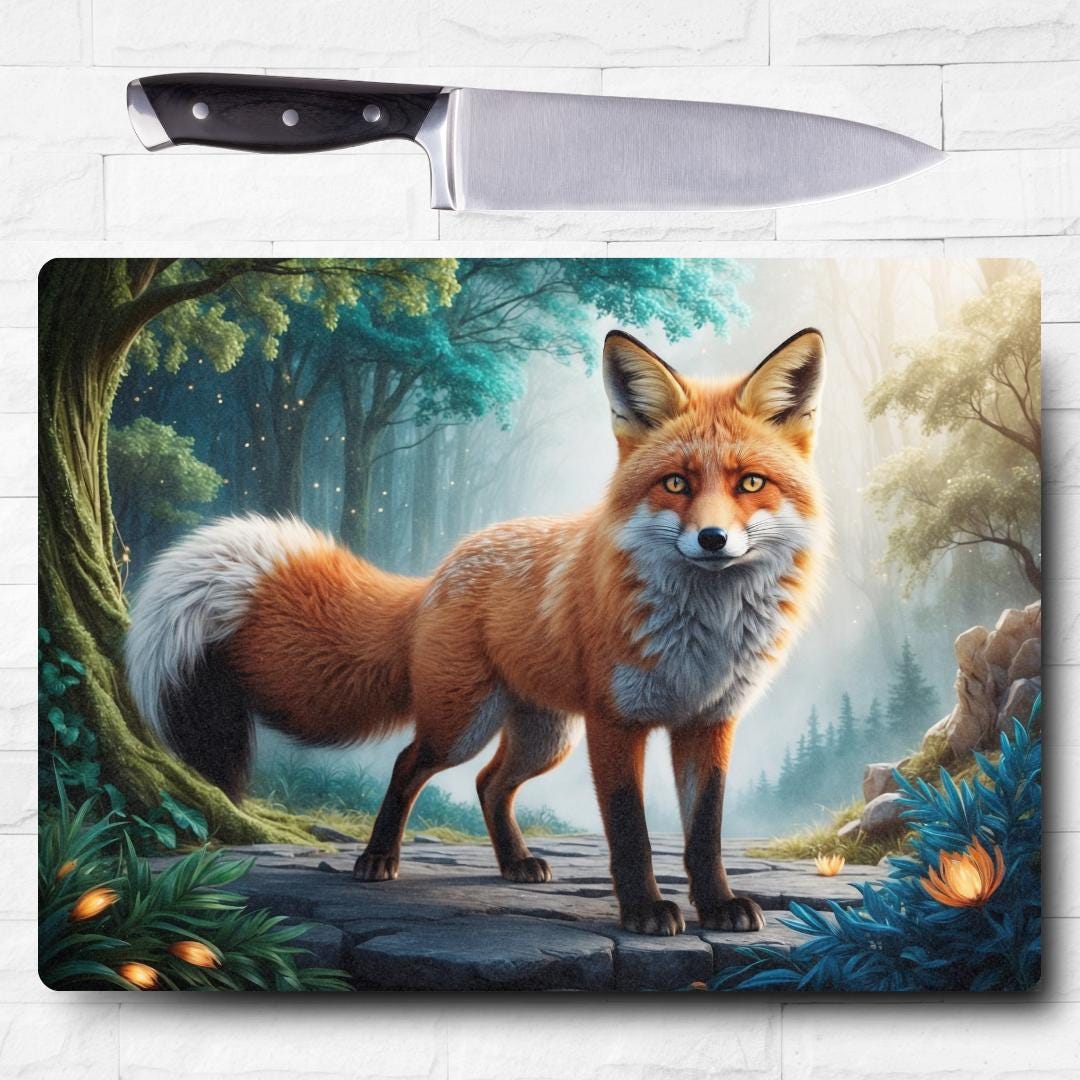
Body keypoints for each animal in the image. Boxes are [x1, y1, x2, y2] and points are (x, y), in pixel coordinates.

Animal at [125, 327, 827, 936]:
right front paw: (646, 911)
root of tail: (442, 568)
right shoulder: (616, 722)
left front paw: (719, 905)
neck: (703, 634)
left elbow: (705, 834)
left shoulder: (709, 723)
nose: (712, 539)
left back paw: (514, 862)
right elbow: (631, 832)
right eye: (676, 483)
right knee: (410, 763)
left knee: (490, 784)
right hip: (465, 722)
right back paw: (378, 859)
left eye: (751, 483)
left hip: (545, 737)